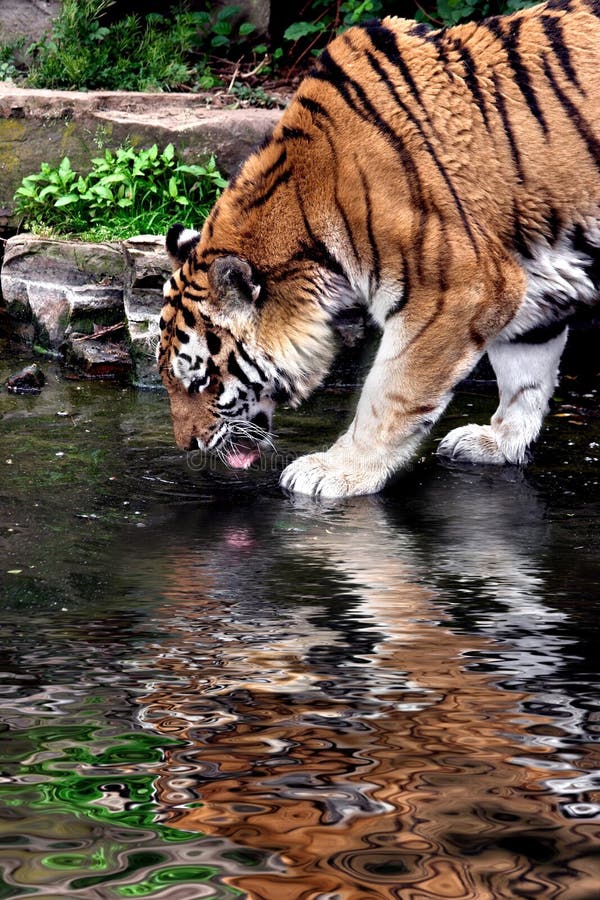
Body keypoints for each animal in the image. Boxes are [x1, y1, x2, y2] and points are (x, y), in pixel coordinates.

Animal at [158, 0, 600, 498]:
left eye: (201, 382)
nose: (188, 445)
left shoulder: (461, 288)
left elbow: (390, 395)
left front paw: (334, 471)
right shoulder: (530, 288)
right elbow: (524, 375)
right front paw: (499, 443)